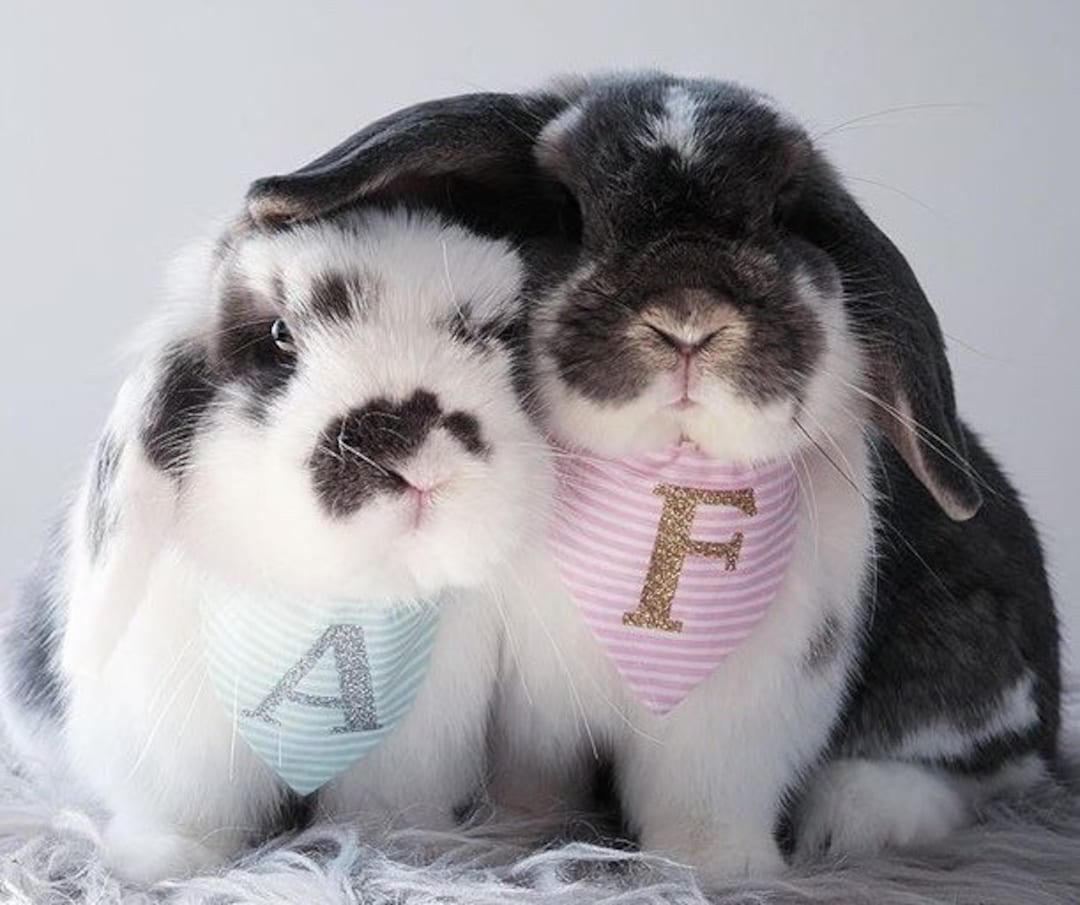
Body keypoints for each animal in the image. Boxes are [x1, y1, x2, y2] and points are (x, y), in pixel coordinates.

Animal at [0, 203, 551, 884]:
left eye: (492, 336)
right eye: (278, 337)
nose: (417, 464)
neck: (331, 603)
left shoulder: (408, 753)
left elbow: (385, 813)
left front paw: (402, 852)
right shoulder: (176, 751)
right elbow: (182, 814)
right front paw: (167, 865)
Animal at [238, 76, 1060, 881]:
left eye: (781, 214)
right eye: (566, 213)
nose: (688, 319)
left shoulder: (738, 715)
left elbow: (704, 803)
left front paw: (720, 871)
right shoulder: (524, 710)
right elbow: (532, 789)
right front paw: (518, 839)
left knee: (987, 768)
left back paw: (855, 818)